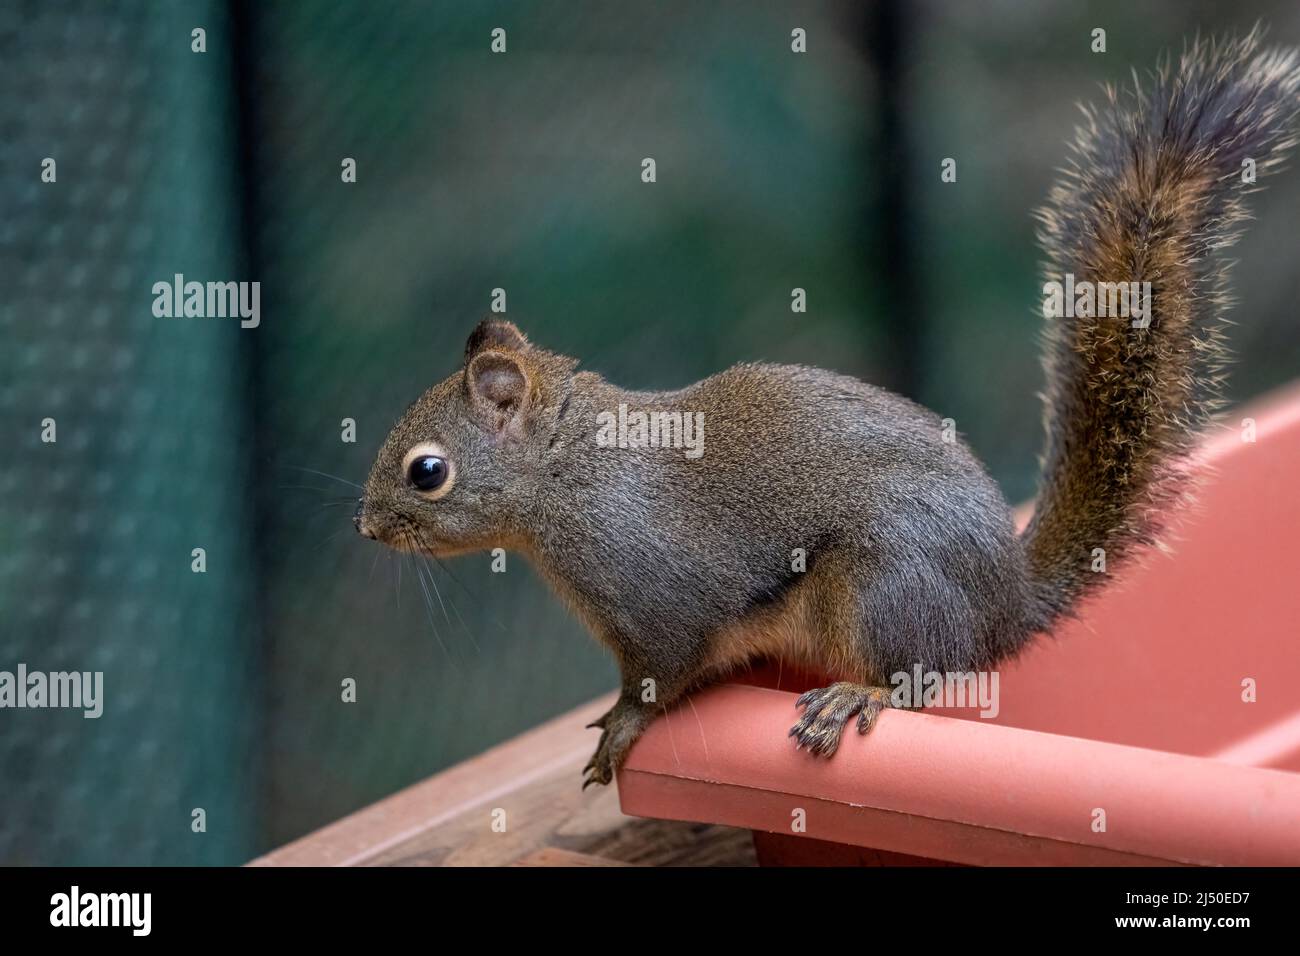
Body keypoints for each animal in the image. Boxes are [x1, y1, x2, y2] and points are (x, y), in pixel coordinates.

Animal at [356, 32, 1300, 788]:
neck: (570, 475)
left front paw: (621, 728)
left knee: (919, 679)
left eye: (428, 472)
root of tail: (1006, 607)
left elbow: (660, 674)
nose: (366, 528)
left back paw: (852, 696)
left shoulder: (658, 597)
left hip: (882, 585)